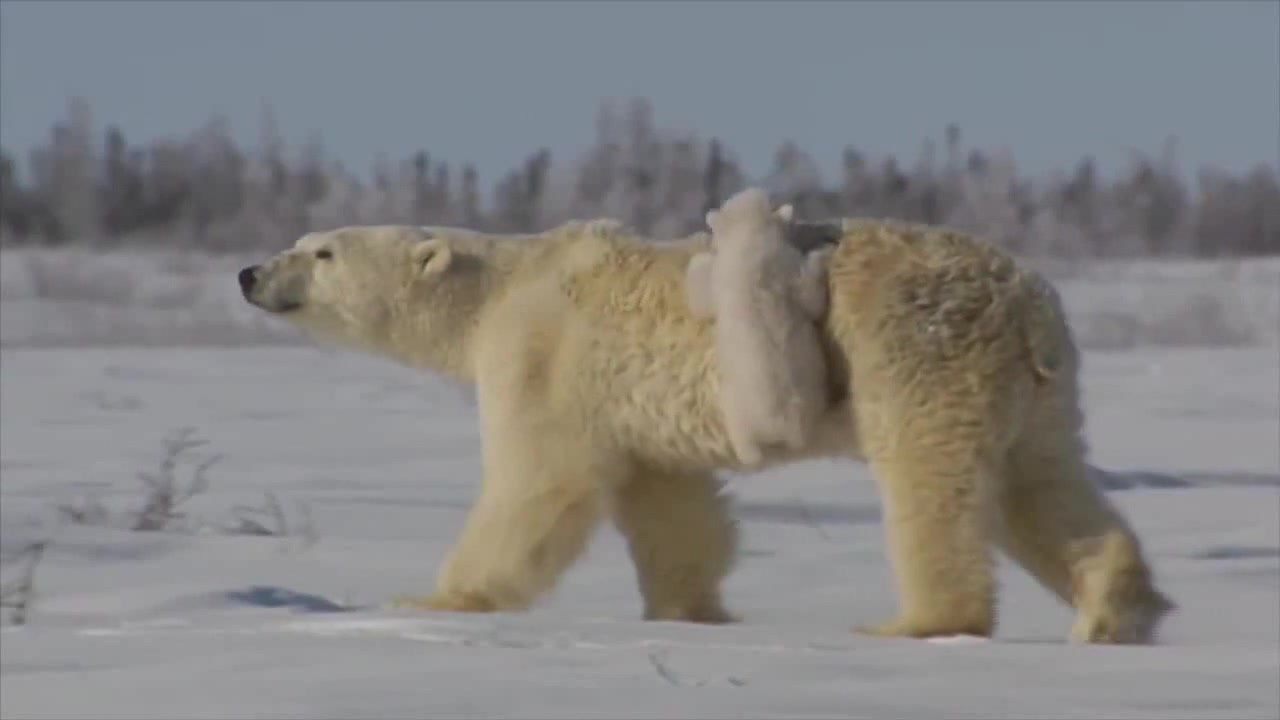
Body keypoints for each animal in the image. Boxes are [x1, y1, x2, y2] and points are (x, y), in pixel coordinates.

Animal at [237, 216, 1174, 643]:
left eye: (320, 251)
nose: (247, 272)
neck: (501, 285)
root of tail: (1024, 300)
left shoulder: (542, 356)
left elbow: (538, 483)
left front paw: (435, 600)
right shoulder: (631, 409)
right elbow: (670, 506)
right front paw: (690, 611)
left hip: (911, 351)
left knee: (932, 483)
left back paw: (916, 622)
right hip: (1034, 388)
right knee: (1043, 483)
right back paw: (1114, 608)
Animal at [684, 188, 832, 467]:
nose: (711, 243)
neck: (752, 239)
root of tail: (781, 423)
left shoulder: (726, 272)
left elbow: (701, 296)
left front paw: (697, 258)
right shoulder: (786, 267)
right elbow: (810, 298)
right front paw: (821, 254)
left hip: (738, 404)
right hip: (811, 398)